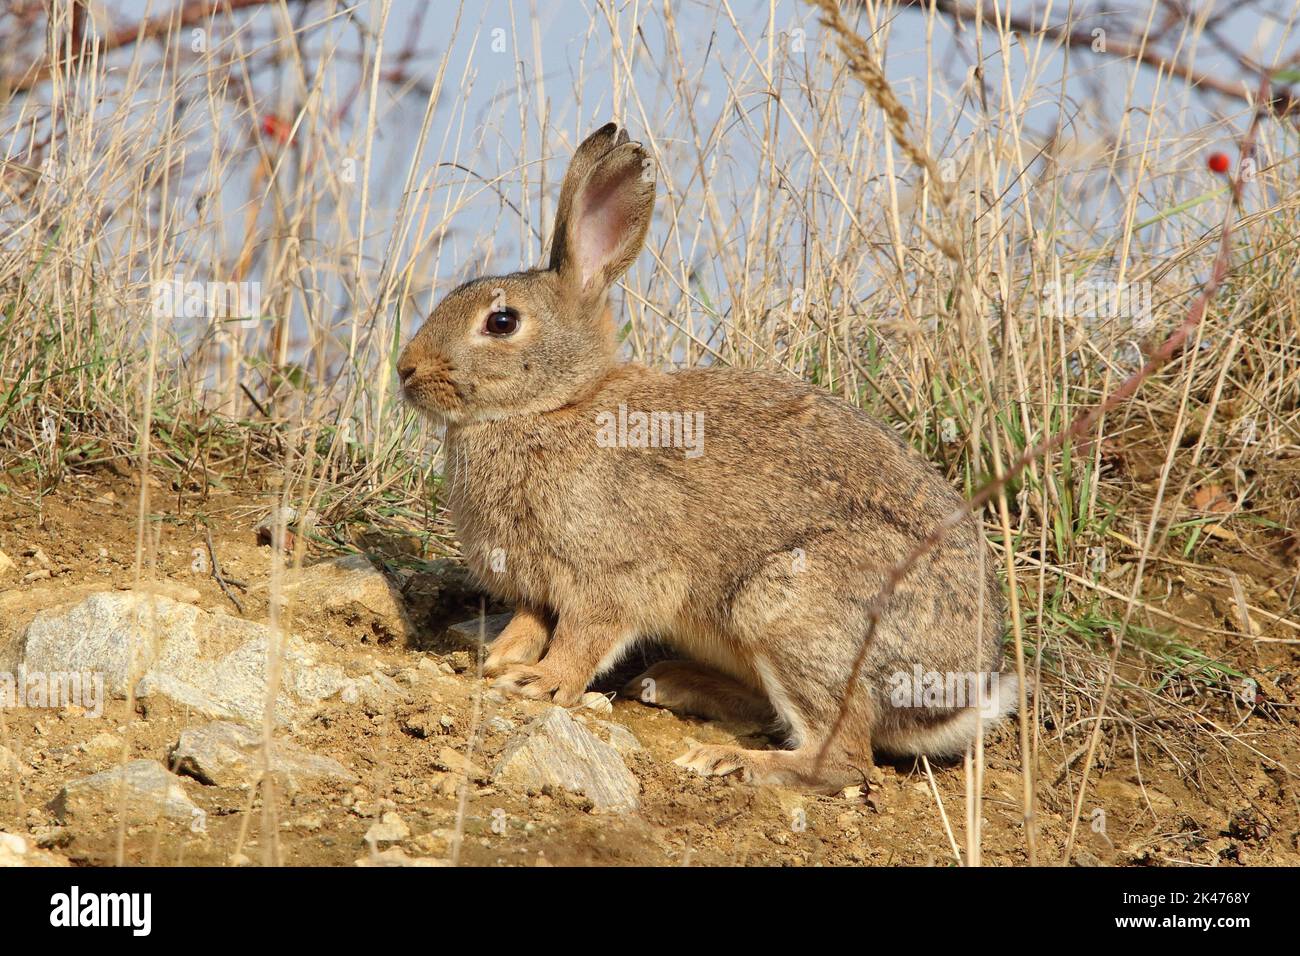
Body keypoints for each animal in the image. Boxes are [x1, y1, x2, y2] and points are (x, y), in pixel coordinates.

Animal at [396, 122, 1017, 791]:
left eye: (502, 322)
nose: (406, 369)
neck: (554, 407)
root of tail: (955, 697)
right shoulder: (539, 585)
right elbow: (530, 623)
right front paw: (496, 660)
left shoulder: (614, 574)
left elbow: (584, 638)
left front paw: (538, 682)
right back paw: (672, 683)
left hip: (787, 608)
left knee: (843, 756)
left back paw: (729, 759)